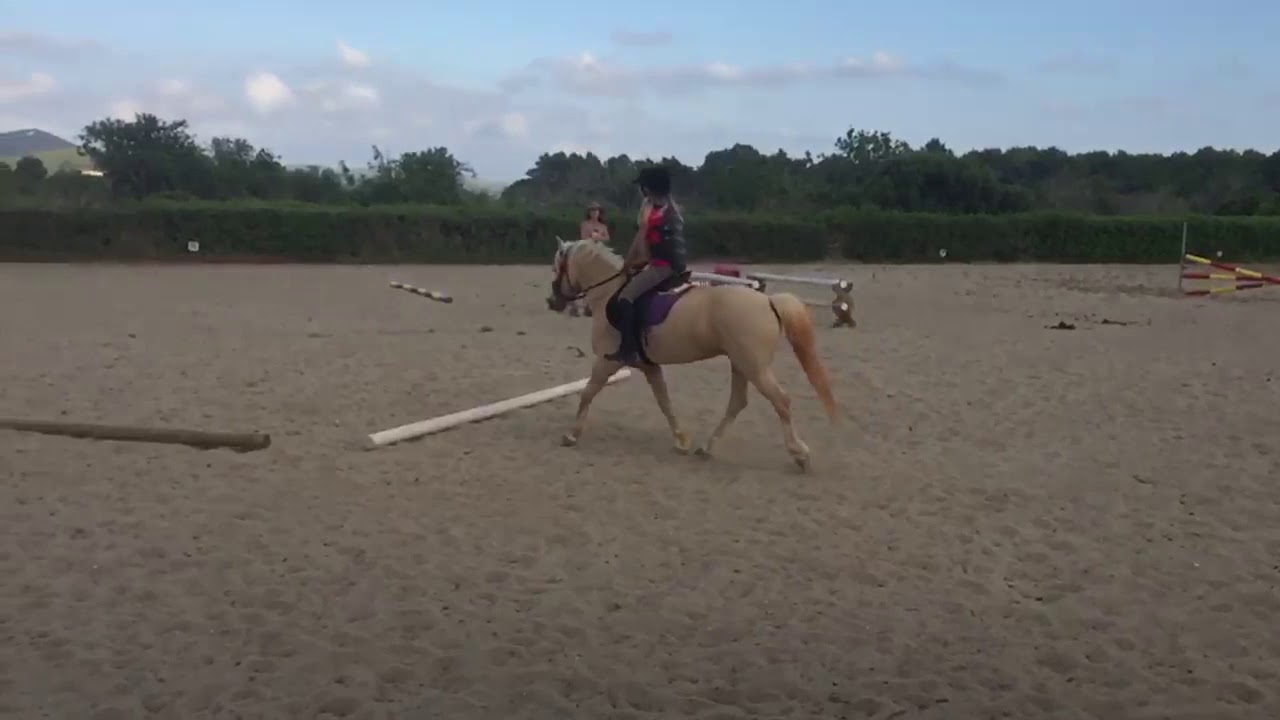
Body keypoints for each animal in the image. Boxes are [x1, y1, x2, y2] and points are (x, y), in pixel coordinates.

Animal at [547, 238, 839, 470]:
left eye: (556, 268)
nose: (553, 302)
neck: (609, 293)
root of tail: (768, 300)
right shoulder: (649, 366)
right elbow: (664, 402)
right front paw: (681, 440)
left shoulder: (608, 361)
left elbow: (587, 393)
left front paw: (571, 435)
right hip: (741, 364)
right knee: (738, 402)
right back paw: (707, 448)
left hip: (754, 367)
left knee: (781, 401)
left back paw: (800, 454)